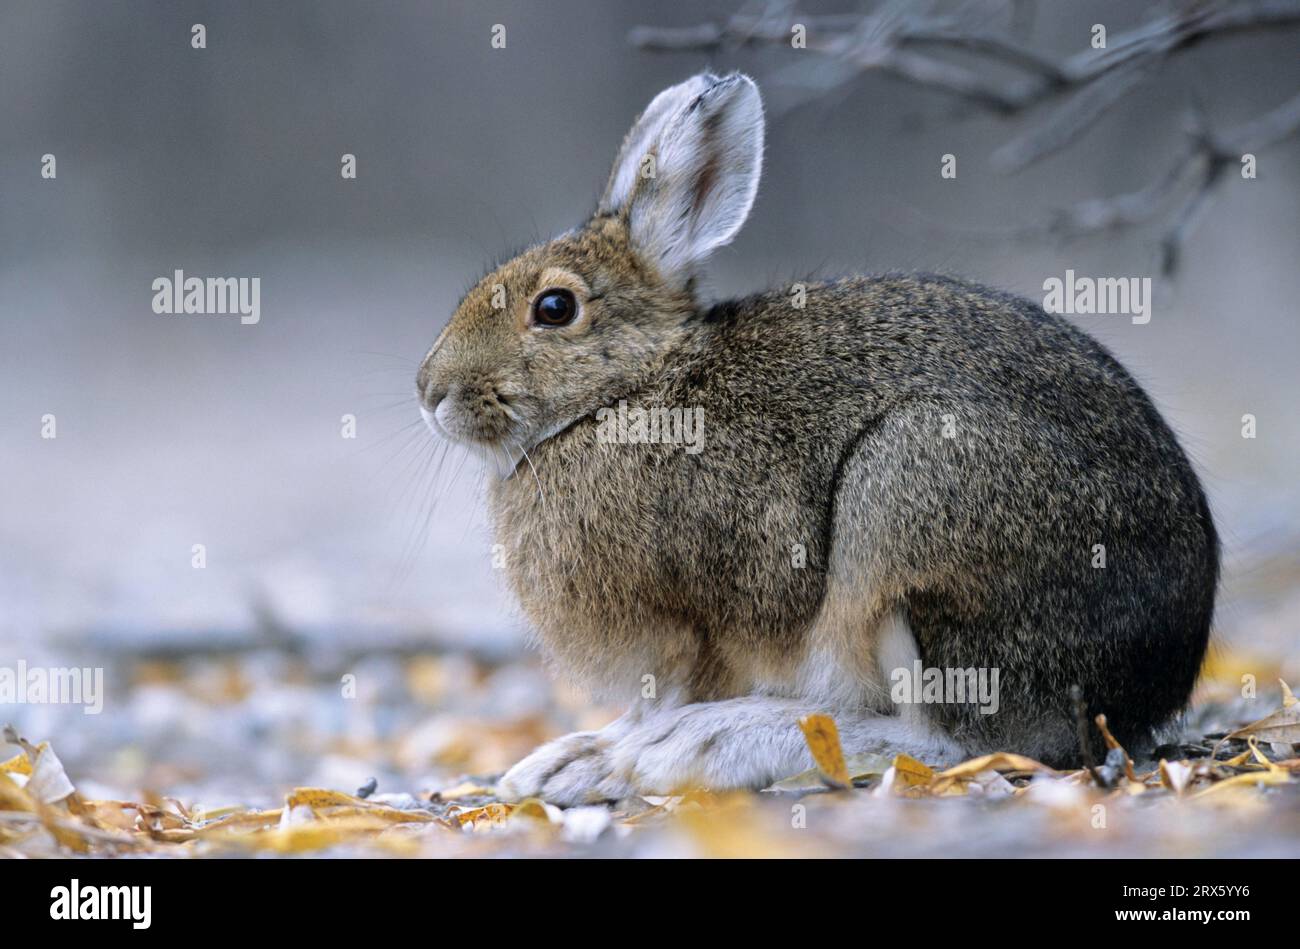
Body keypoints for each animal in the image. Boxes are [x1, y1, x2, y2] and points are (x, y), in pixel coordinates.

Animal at [415, 72, 1219, 806]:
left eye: (554, 308)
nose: (430, 392)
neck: (631, 388)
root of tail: (1151, 686)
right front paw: (569, 760)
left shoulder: (691, 630)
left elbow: (667, 697)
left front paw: (603, 759)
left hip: (908, 498)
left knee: (951, 740)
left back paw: (708, 745)